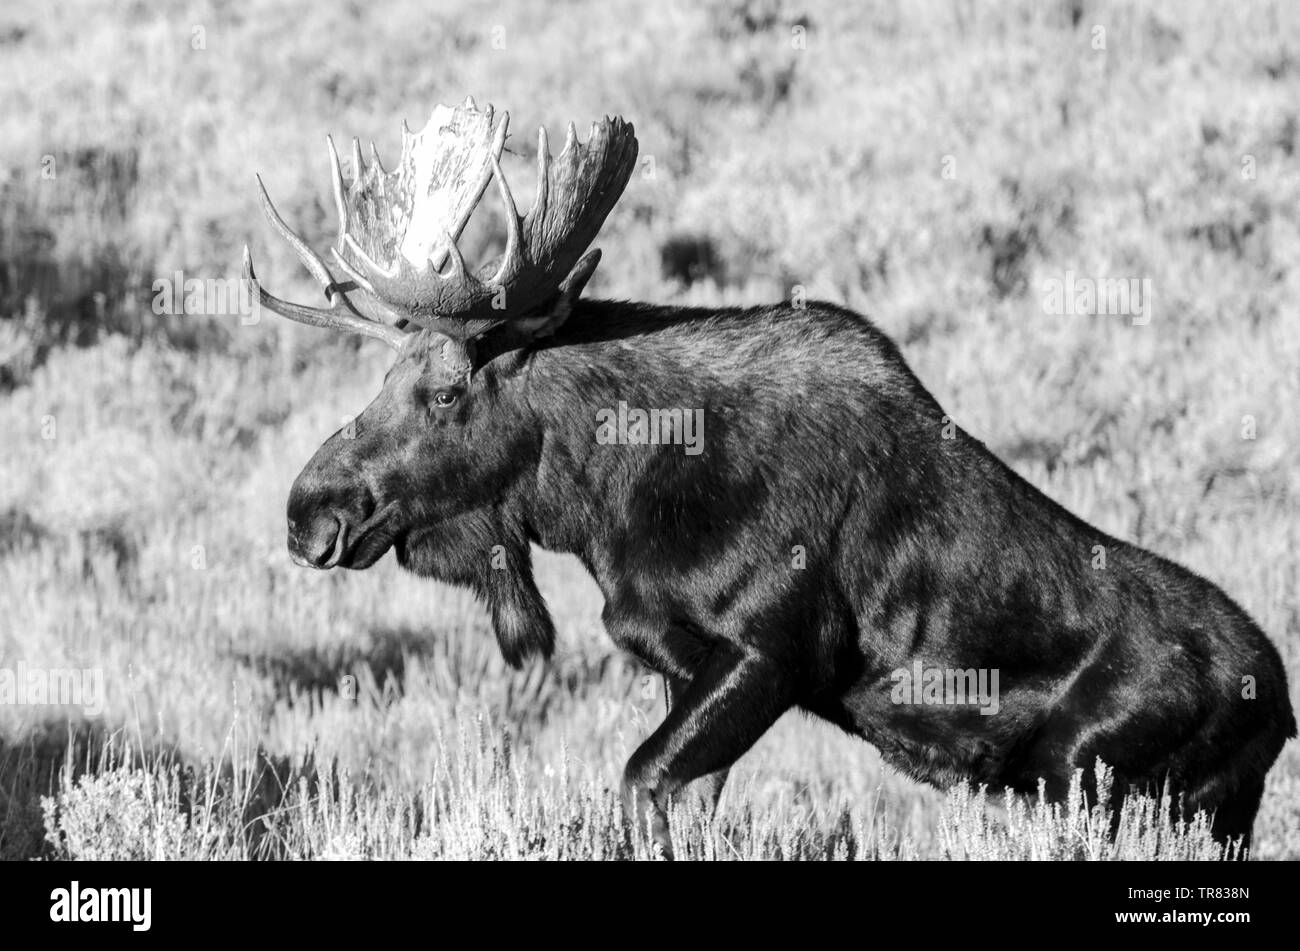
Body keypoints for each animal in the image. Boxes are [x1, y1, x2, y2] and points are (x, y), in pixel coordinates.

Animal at [241, 100, 1289, 857]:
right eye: (382, 377)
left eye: (448, 387)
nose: (308, 513)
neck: (608, 507)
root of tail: (1280, 705)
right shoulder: (682, 660)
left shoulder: (770, 651)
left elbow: (640, 784)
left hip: (1102, 782)